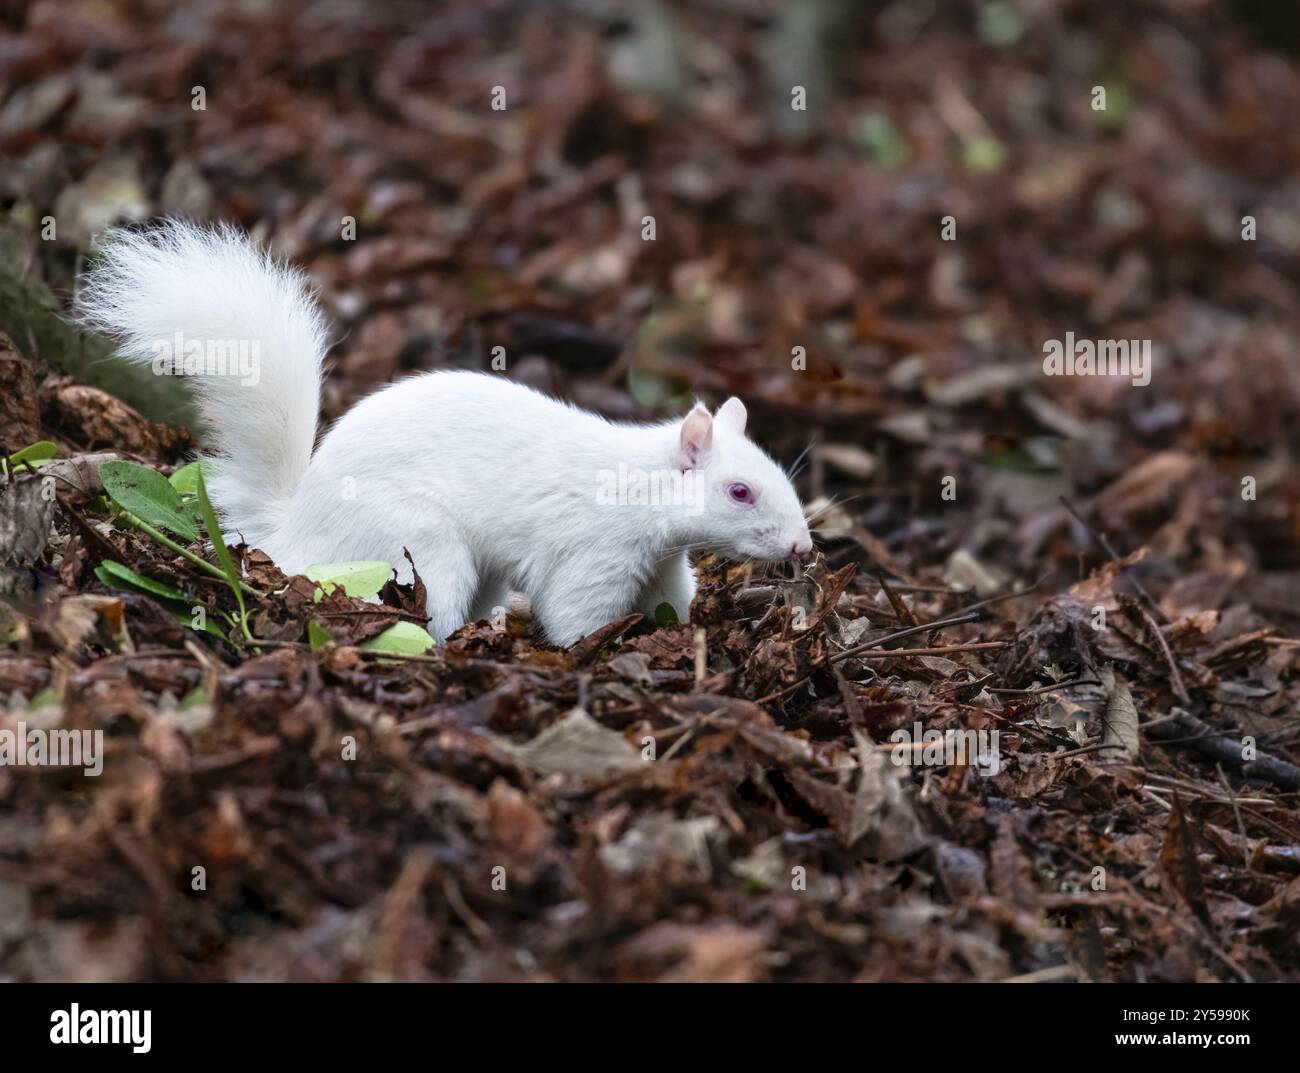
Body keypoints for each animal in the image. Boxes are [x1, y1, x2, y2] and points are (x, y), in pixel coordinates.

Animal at [76, 220, 813, 645]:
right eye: (740, 491)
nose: (803, 546)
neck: (638, 486)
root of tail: (294, 534)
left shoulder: (660, 565)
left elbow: (671, 601)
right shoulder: (592, 554)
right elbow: (578, 614)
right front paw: (594, 652)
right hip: (421, 546)